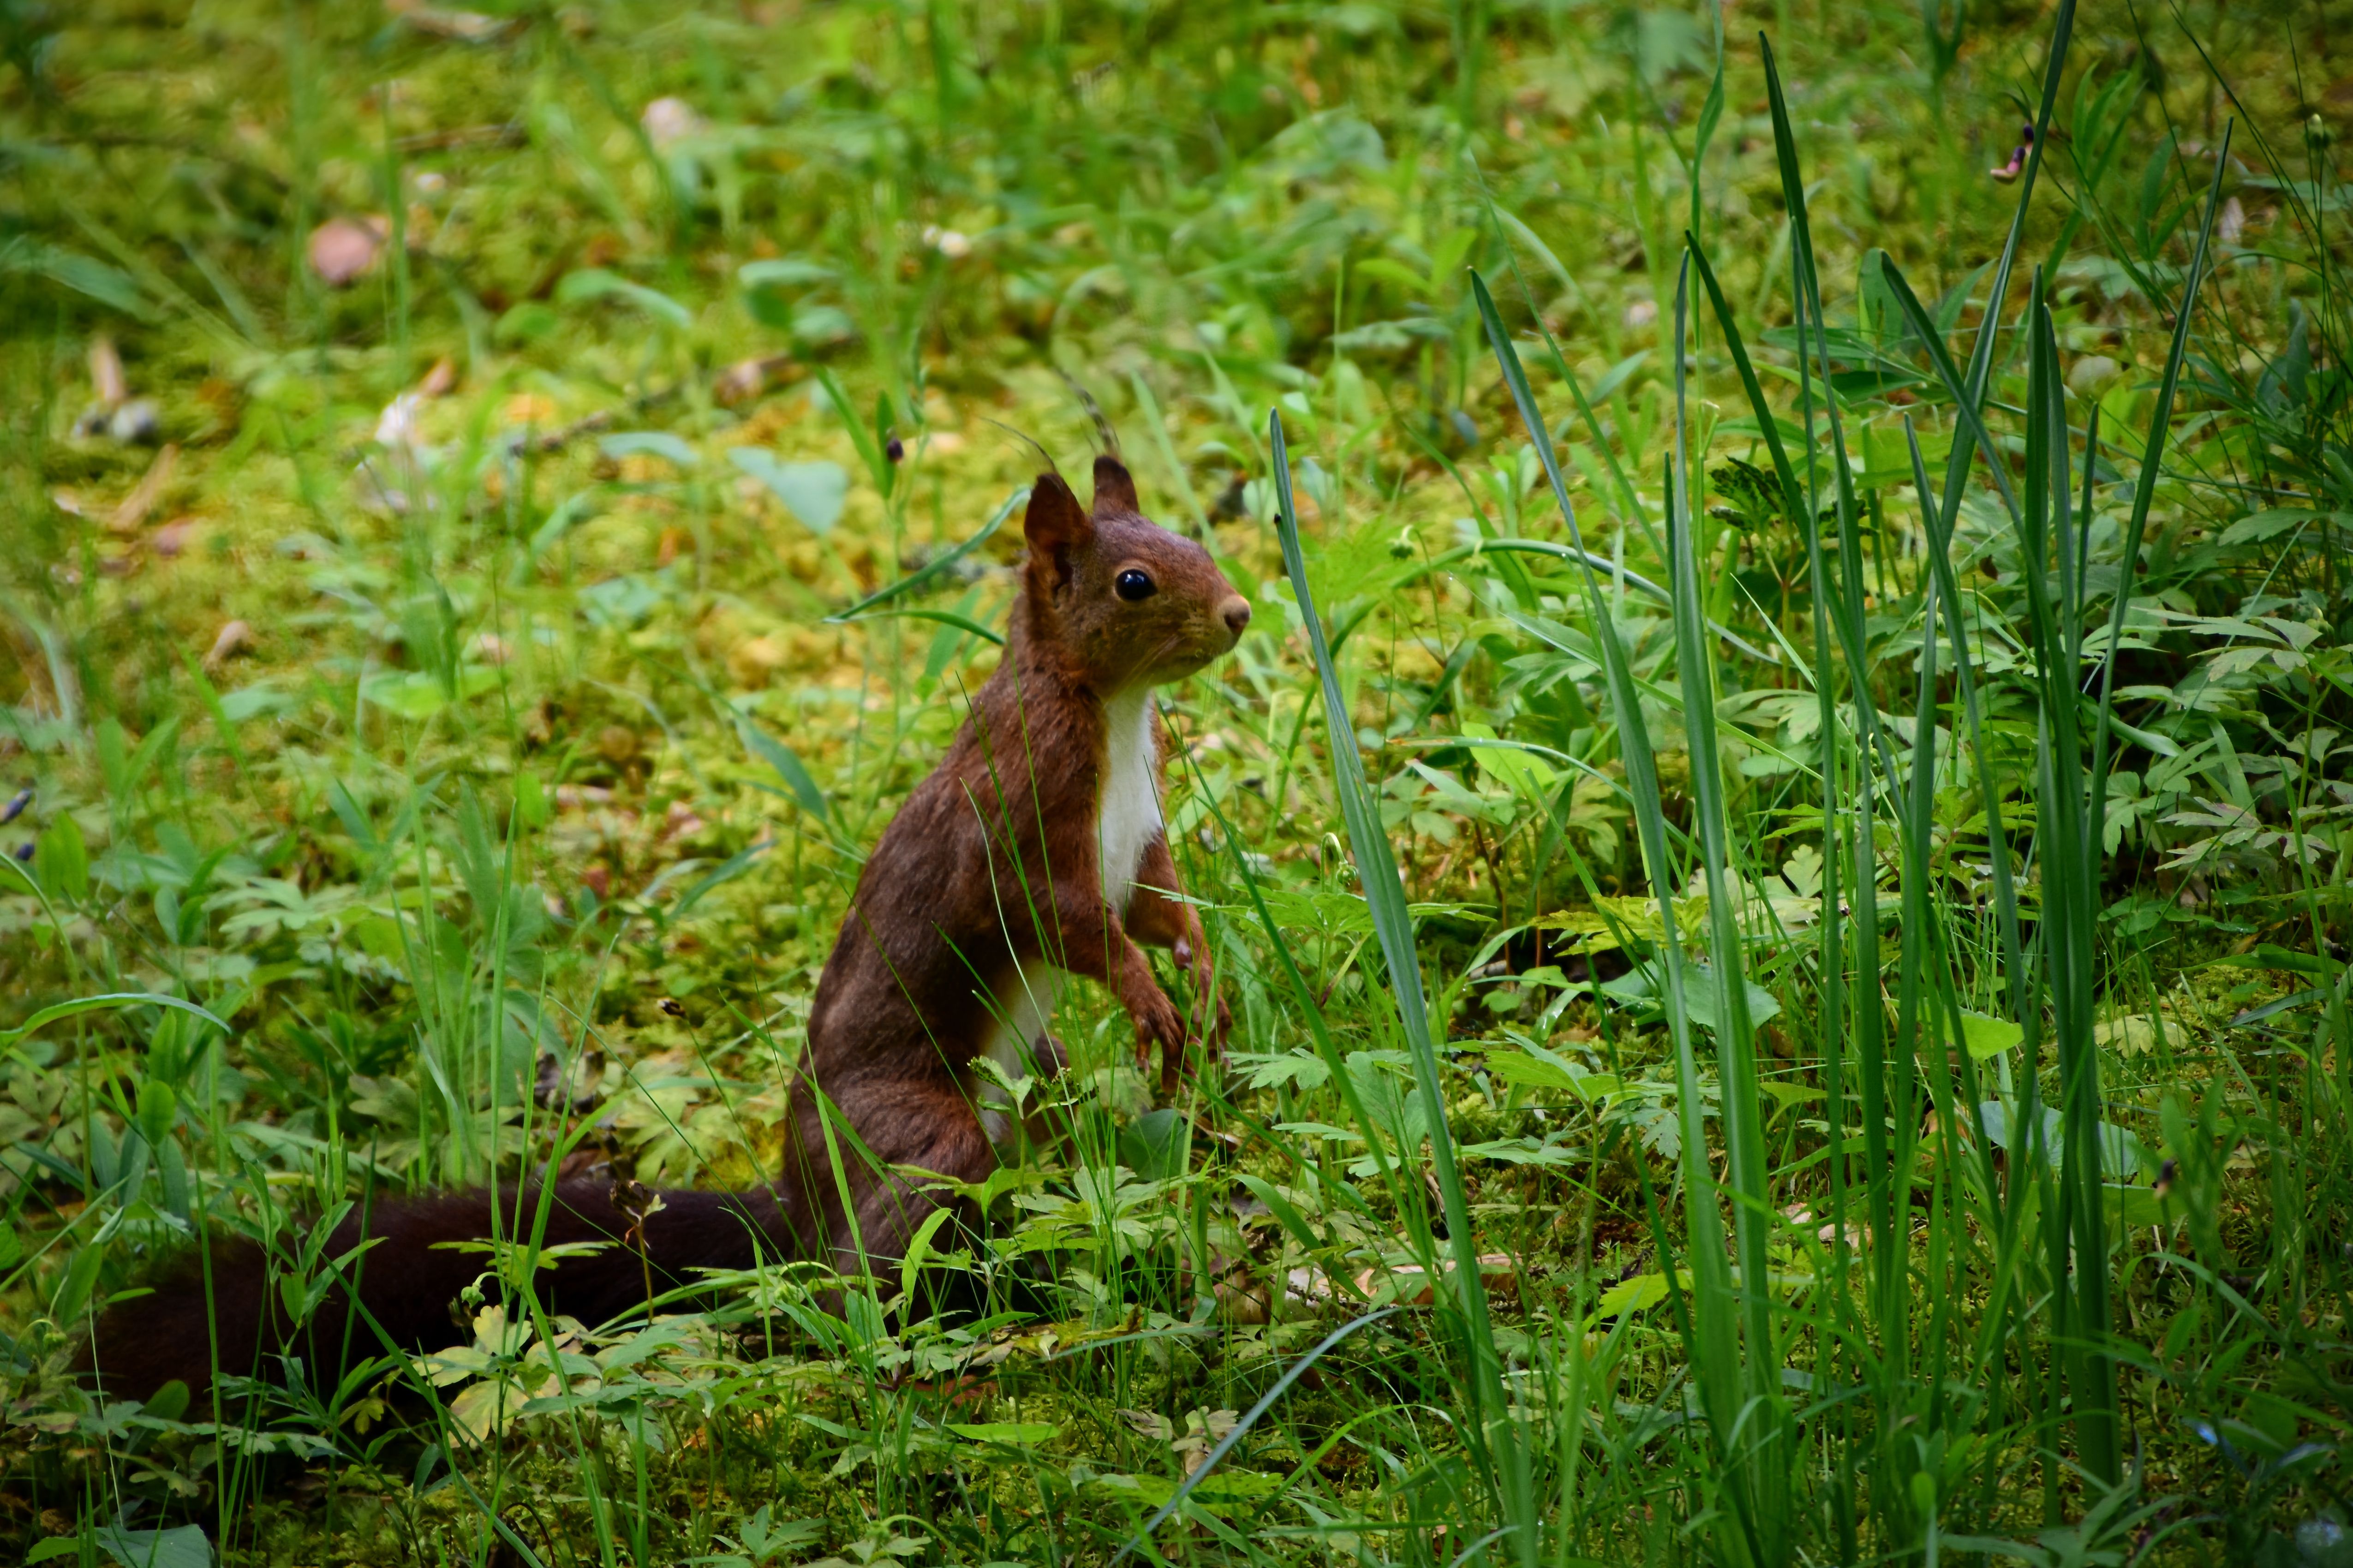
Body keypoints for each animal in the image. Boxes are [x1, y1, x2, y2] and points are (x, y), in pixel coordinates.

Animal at [84, 455, 1248, 1401]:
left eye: (1195, 541)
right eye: (1133, 583)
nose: (1240, 610)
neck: (1113, 717)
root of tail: (794, 1205)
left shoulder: (1137, 839)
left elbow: (1158, 903)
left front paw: (1200, 976)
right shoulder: (1015, 825)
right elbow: (1067, 923)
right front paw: (1149, 995)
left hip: (1032, 1082)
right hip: (914, 1129)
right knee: (865, 1263)